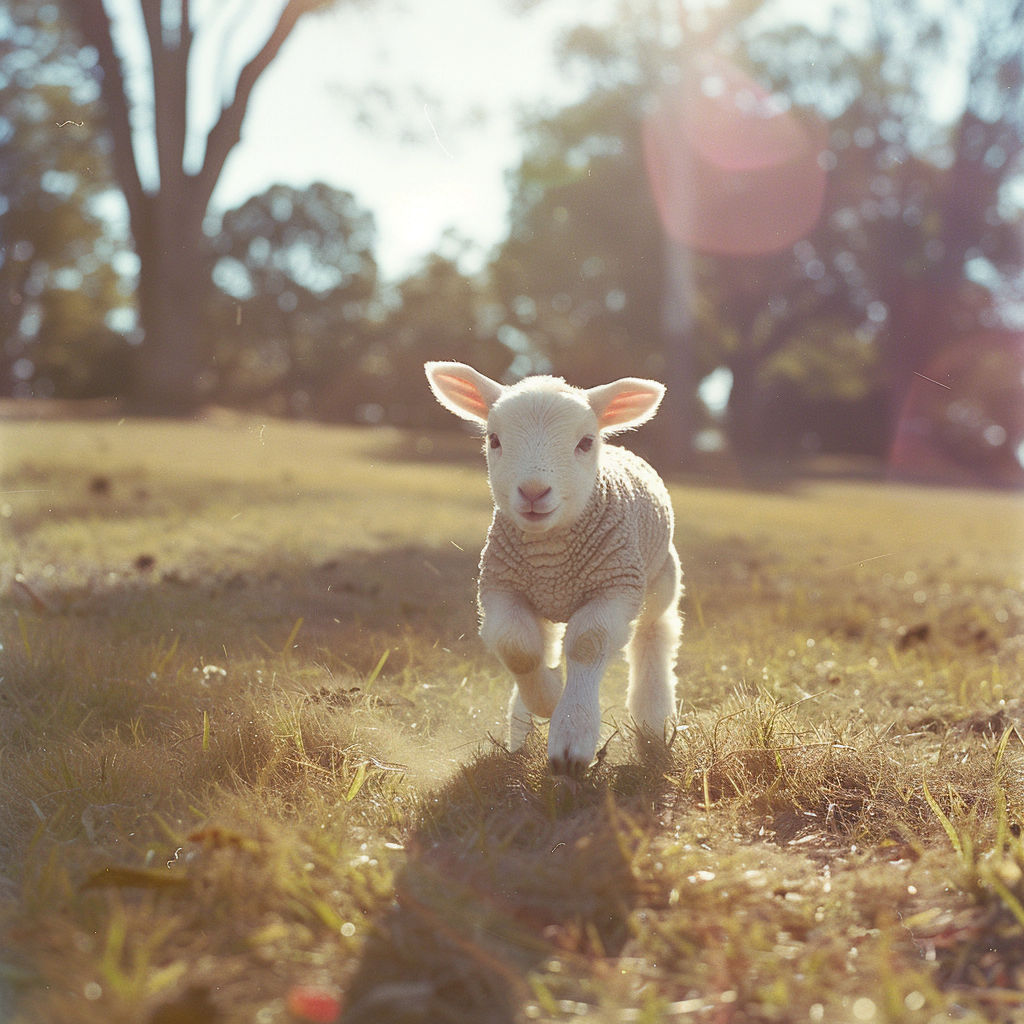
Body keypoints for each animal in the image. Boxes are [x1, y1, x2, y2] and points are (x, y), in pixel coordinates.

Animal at [424, 360, 682, 774]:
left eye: (585, 443)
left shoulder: (616, 586)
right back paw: (521, 731)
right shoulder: (501, 586)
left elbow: (588, 643)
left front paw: (571, 737)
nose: (533, 492)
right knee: (542, 641)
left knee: (654, 636)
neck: (551, 556)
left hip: (659, 578)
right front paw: (548, 697)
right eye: (494, 439)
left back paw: (653, 721)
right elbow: (517, 646)